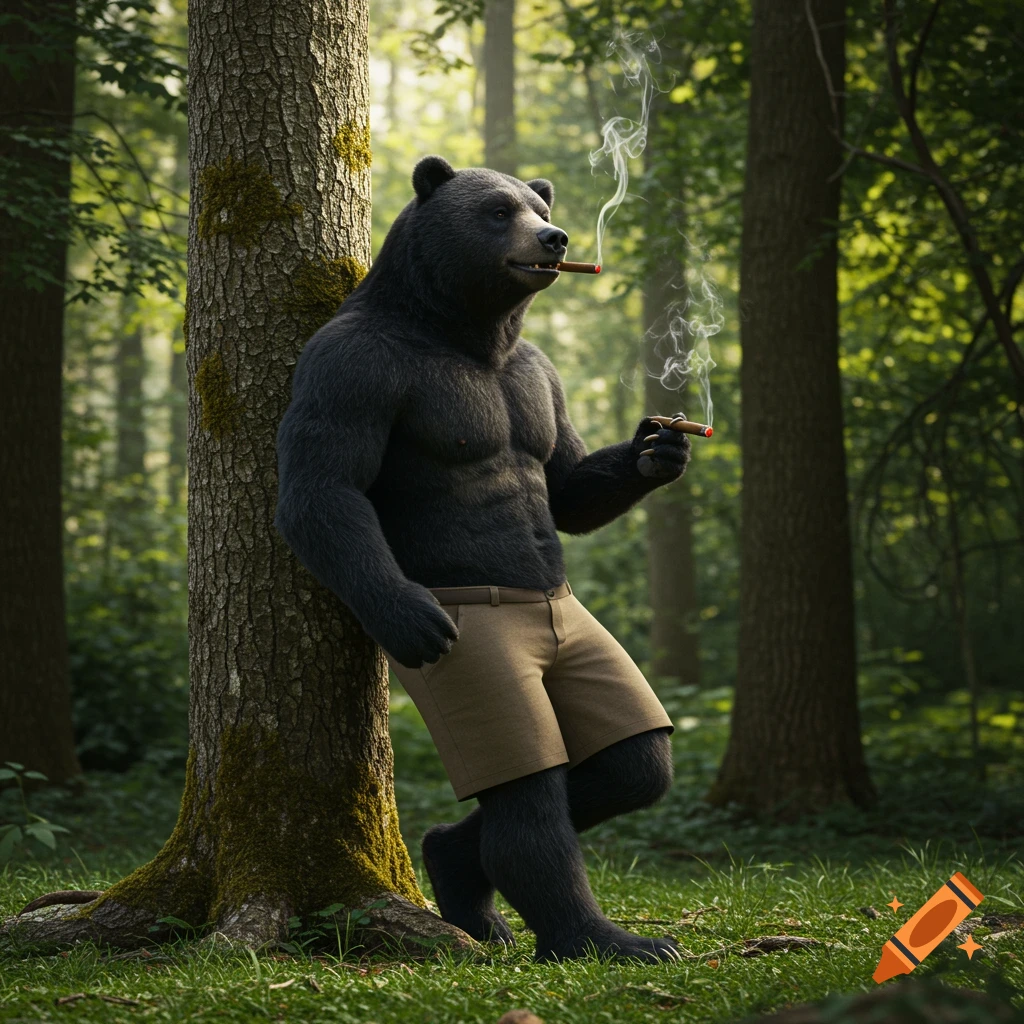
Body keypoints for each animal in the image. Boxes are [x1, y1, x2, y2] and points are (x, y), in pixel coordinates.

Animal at [274, 155, 692, 962]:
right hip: (486, 663)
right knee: (526, 779)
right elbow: (328, 484)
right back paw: (593, 933)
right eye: (499, 210)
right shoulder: (356, 365)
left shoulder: (536, 374)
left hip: (577, 643)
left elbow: (562, 481)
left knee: (631, 762)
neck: (470, 333)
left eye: (538, 206)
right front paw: (409, 615)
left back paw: (458, 868)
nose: (556, 238)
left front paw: (658, 447)